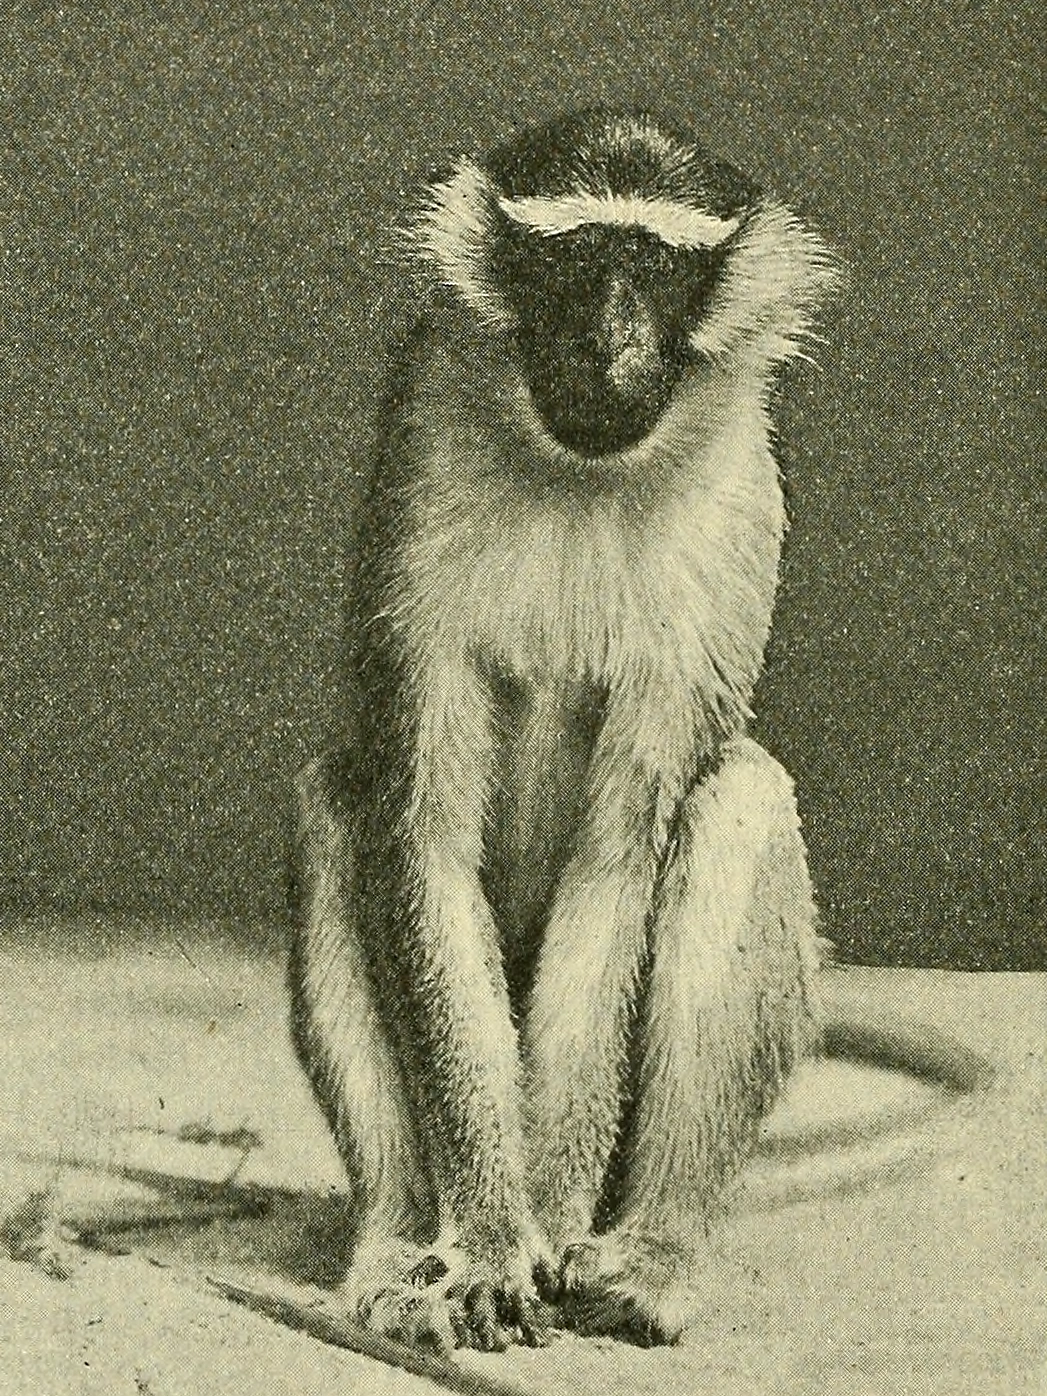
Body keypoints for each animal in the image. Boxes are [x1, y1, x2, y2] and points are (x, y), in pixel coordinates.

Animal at [287, 107, 839, 1352]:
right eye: (576, 260)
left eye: (658, 267)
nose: (608, 338)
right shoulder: (421, 434)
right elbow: (423, 841)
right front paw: (494, 1237)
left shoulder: (737, 501)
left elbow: (616, 864)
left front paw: (545, 1213)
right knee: (343, 806)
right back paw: (398, 1251)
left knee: (737, 799)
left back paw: (653, 1251)